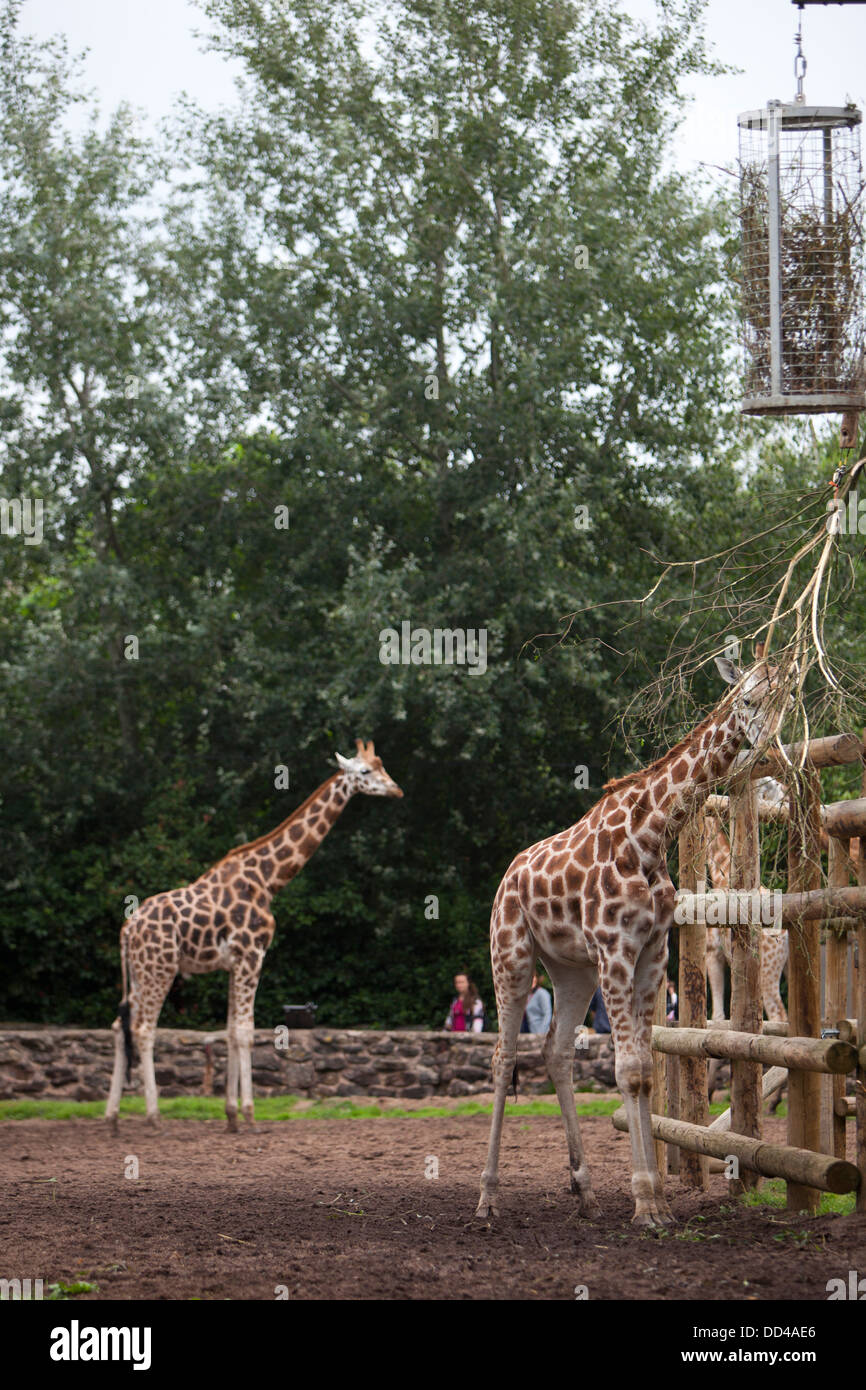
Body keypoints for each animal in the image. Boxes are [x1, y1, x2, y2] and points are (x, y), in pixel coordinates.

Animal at [105, 740, 402, 1134]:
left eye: (382, 766)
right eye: (366, 772)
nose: (396, 790)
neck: (269, 879)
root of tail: (127, 930)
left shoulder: (234, 963)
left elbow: (232, 1031)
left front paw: (231, 1115)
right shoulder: (252, 955)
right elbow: (246, 1031)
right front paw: (250, 1113)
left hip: (139, 973)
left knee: (118, 1026)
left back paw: (112, 1118)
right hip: (160, 969)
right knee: (143, 1030)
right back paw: (153, 1117)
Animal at [476, 653, 792, 1228]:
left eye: (786, 697)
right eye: (747, 698)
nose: (771, 757)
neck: (650, 836)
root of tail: (507, 875)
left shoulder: (652, 954)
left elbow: (644, 1070)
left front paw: (658, 1203)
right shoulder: (616, 951)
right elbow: (627, 1070)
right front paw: (645, 1202)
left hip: (571, 970)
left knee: (557, 1051)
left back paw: (585, 1191)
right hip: (510, 955)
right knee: (504, 1057)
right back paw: (487, 1197)